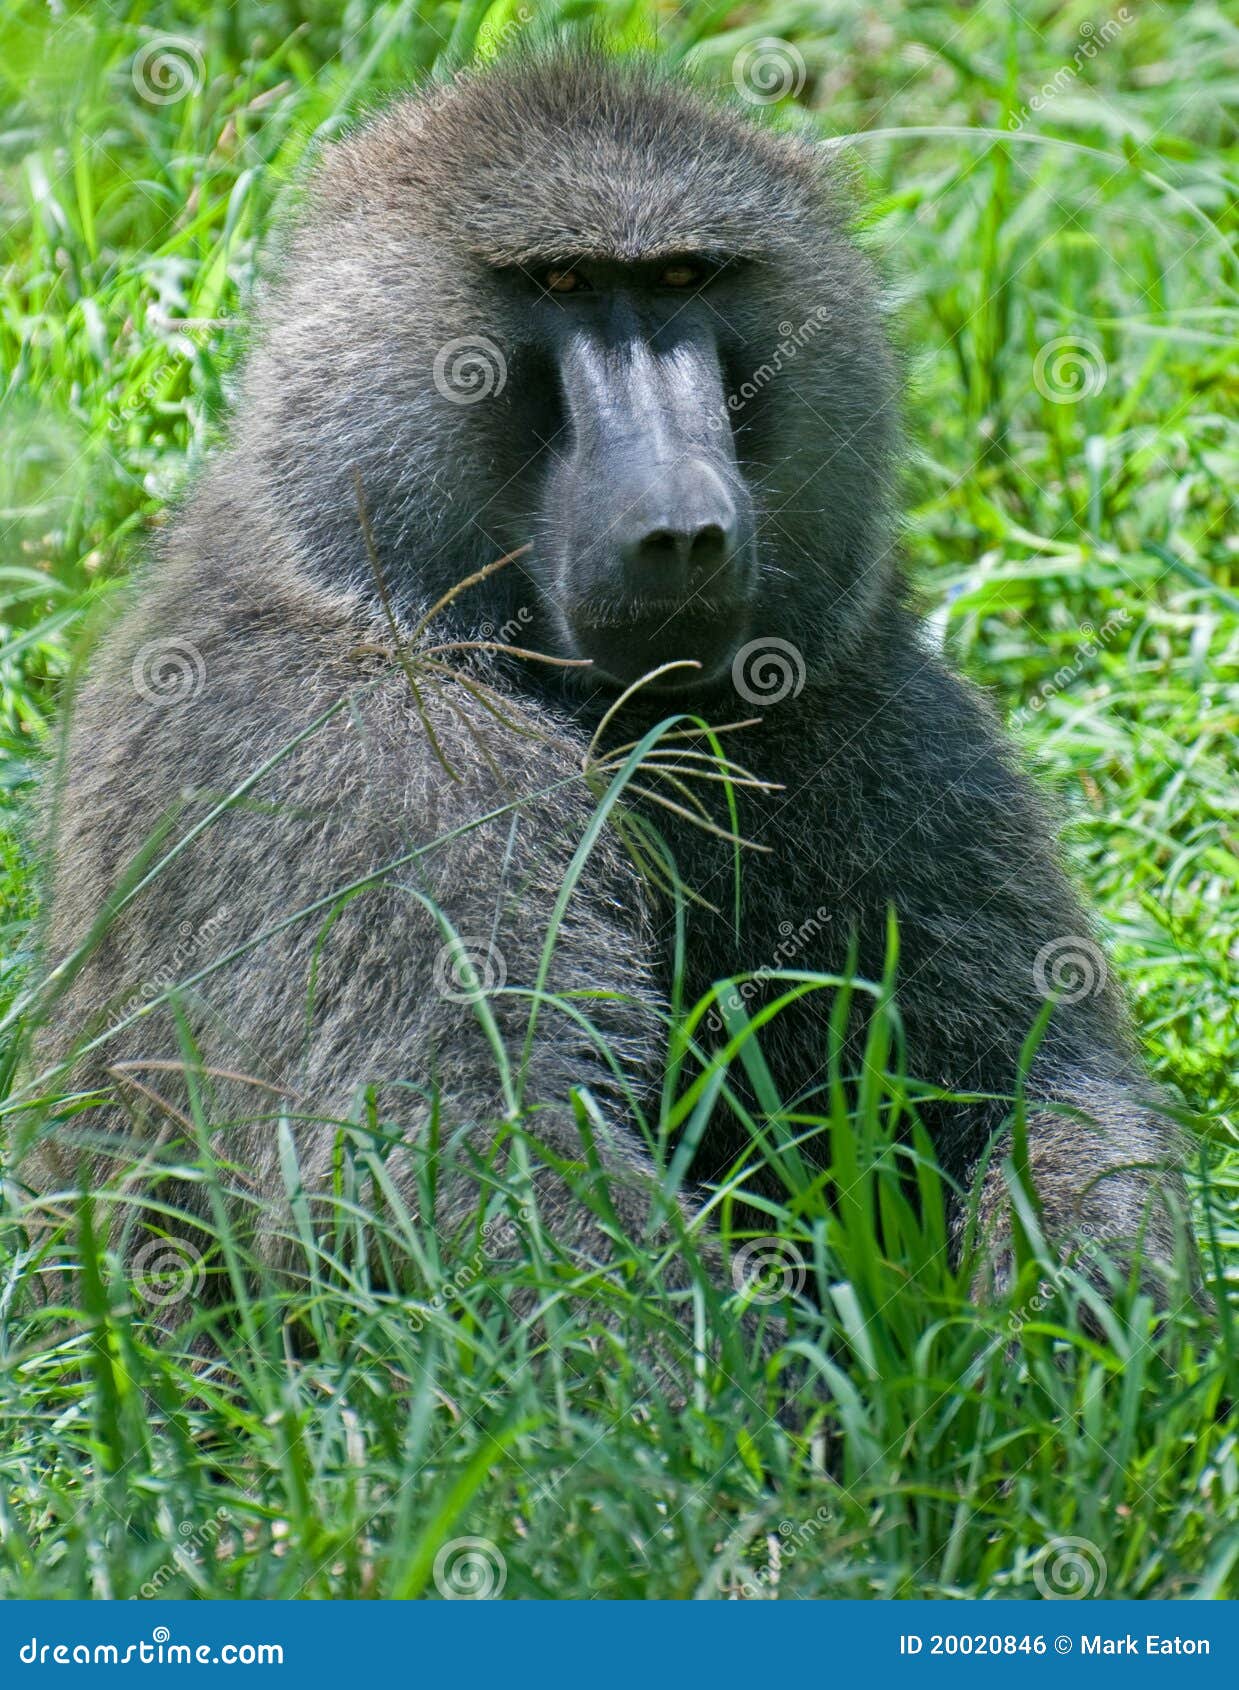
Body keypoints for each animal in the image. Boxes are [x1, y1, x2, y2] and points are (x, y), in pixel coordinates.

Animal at [17, 49, 1188, 1365]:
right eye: (564, 281)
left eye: (683, 277)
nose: (680, 526)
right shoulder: (344, 768)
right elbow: (457, 1154)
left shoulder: (876, 709)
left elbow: (1029, 1077)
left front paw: (1063, 1368)